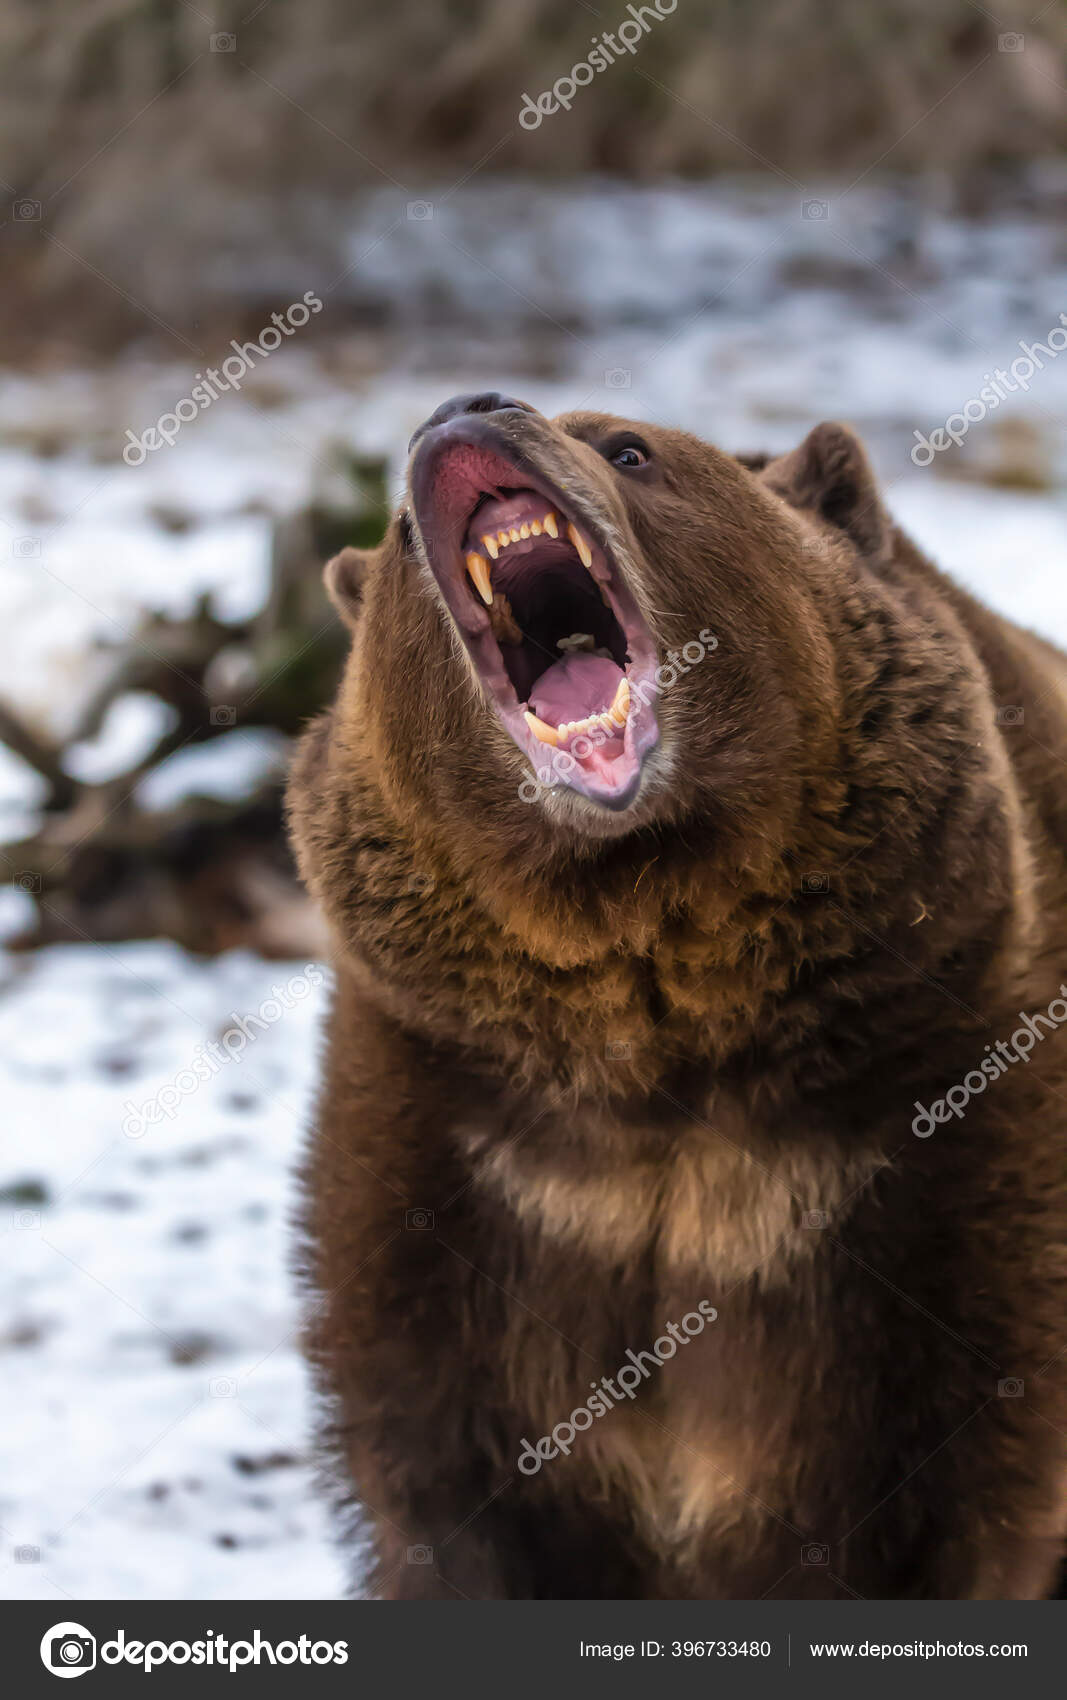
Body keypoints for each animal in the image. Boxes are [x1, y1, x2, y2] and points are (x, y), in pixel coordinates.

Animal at [287, 391, 1067, 1600]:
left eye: (628, 447)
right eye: (403, 537)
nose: (464, 408)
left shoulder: (930, 1145)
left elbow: (934, 1493)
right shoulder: (455, 1164)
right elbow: (453, 1488)